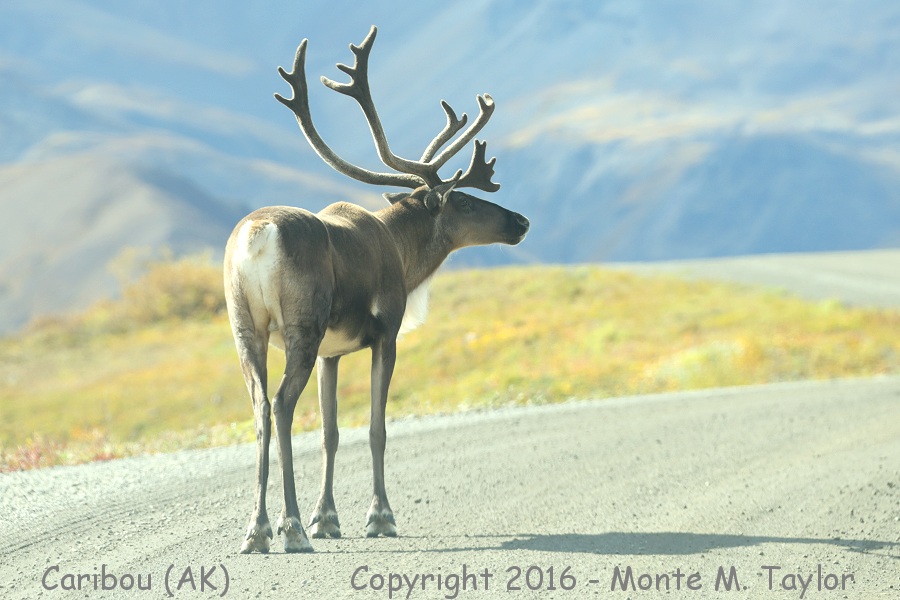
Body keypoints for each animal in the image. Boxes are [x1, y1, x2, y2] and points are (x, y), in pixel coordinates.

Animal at [223, 25, 529, 554]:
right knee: (281, 404)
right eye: (465, 202)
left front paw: (328, 518)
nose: (522, 222)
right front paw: (378, 516)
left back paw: (258, 529)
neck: (404, 255)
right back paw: (290, 527)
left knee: (261, 408)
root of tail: (258, 235)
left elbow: (331, 432)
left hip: (247, 329)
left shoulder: (331, 354)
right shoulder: (385, 333)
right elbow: (375, 428)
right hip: (302, 328)